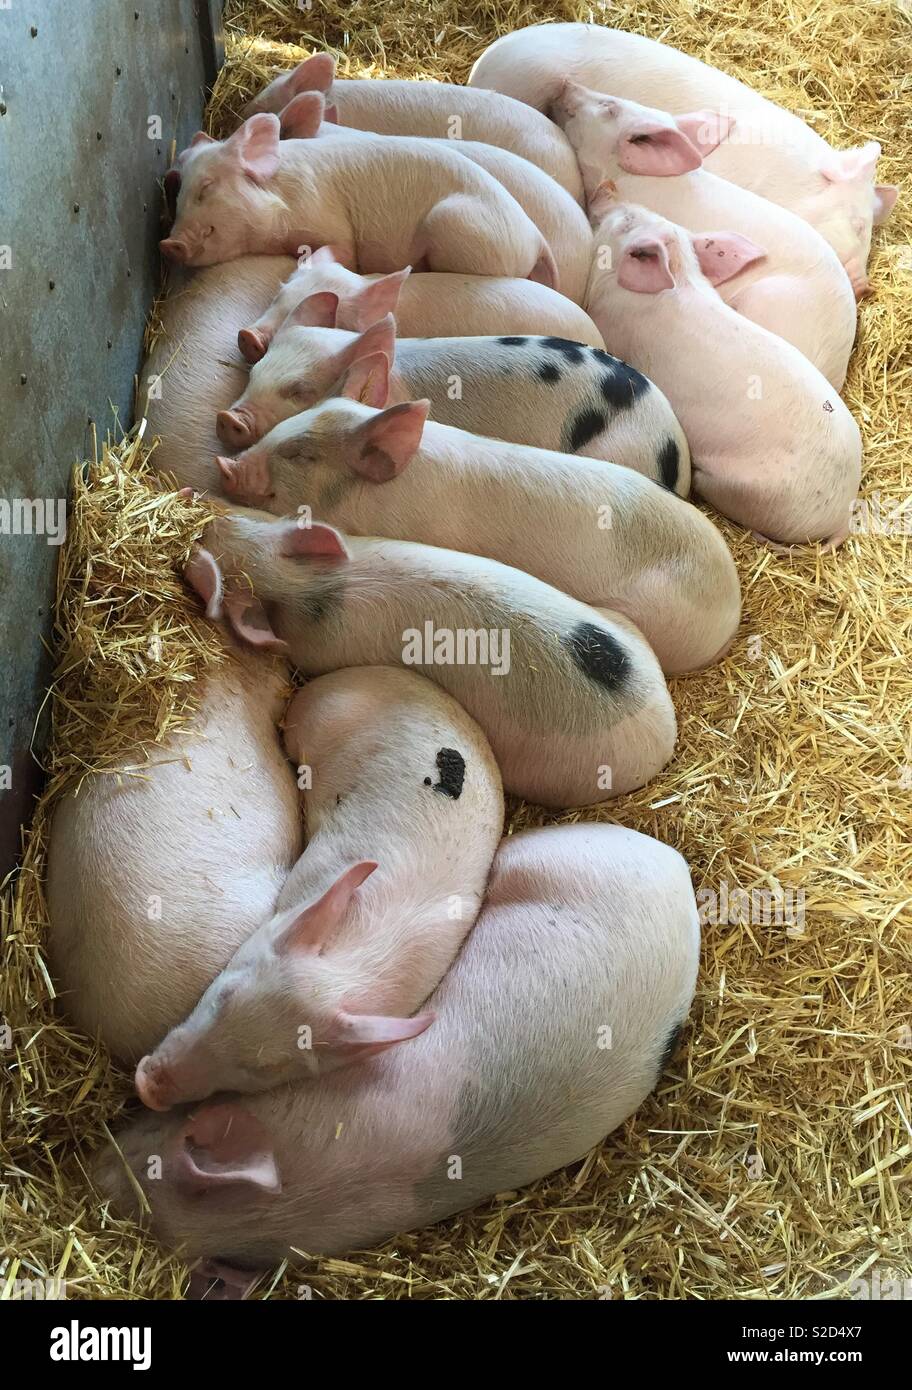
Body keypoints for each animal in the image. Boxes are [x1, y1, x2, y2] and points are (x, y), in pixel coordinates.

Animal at [159, 113, 558, 289]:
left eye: (207, 187)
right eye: (178, 195)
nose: (168, 244)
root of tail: (535, 237)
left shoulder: (327, 218)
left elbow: (343, 251)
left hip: (458, 227)